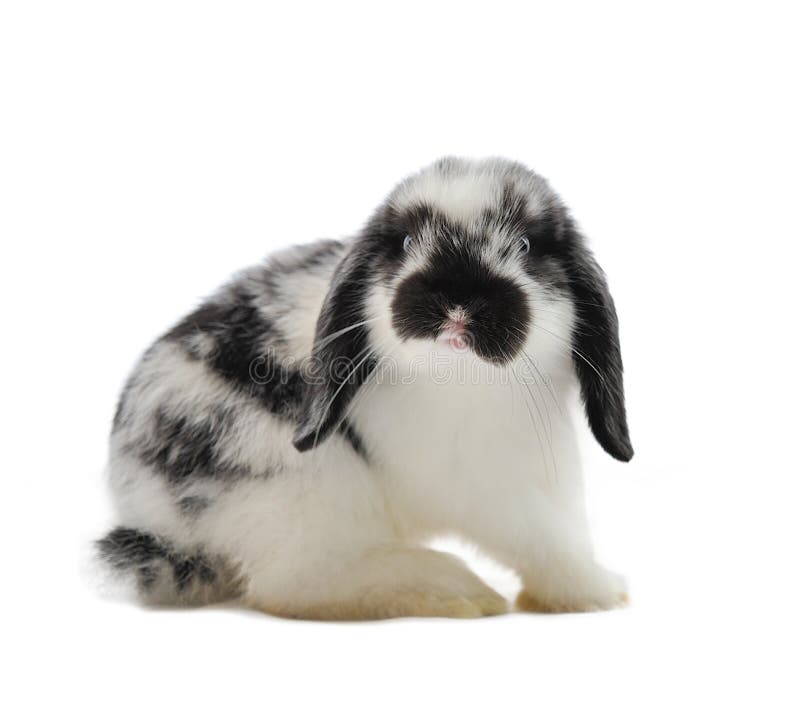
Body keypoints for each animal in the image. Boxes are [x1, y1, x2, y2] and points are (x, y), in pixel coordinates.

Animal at [98, 156, 633, 619]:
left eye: (524, 245)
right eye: (407, 241)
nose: (457, 297)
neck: (467, 388)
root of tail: (150, 513)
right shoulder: (486, 490)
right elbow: (546, 540)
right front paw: (599, 592)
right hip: (304, 484)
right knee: (296, 582)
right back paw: (452, 589)